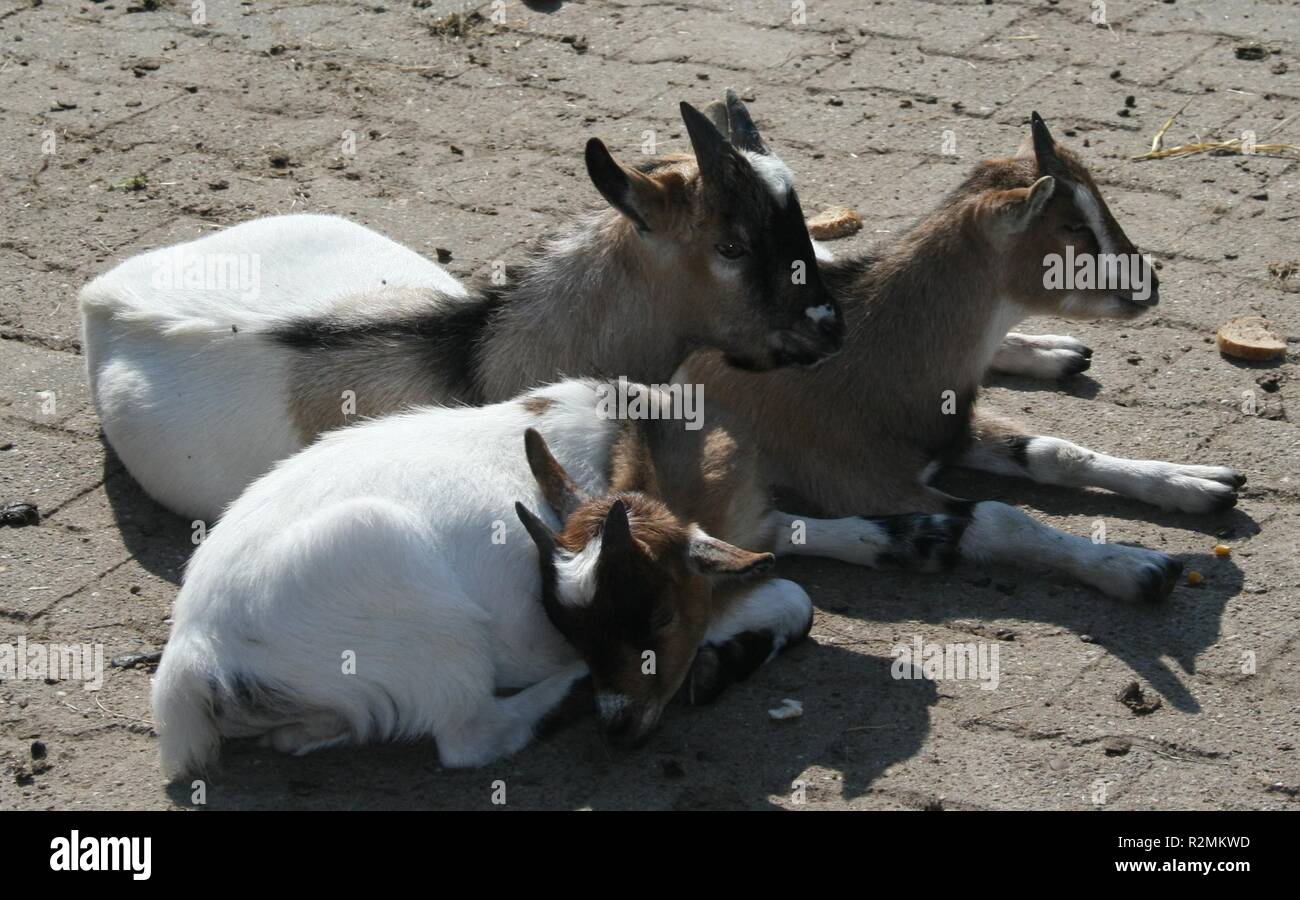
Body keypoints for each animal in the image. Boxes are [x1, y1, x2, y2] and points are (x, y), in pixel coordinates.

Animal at [151, 378, 964, 777]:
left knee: (313, 734)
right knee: (468, 737)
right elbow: (791, 594)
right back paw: (559, 695)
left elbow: (786, 538)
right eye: (658, 617)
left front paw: (920, 537)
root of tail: (195, 649)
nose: (620, 728)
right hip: (414, 600)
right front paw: (720, 660)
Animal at [682, 113, 1244, 604]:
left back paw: (1052, 352)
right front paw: (1132, 567)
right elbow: (1000, 516)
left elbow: (1055, 451)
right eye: (1072, 227)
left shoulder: (950, 424)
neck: (866, 352)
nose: (1148, 285)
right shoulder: (852, 476)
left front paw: (1197, 482)